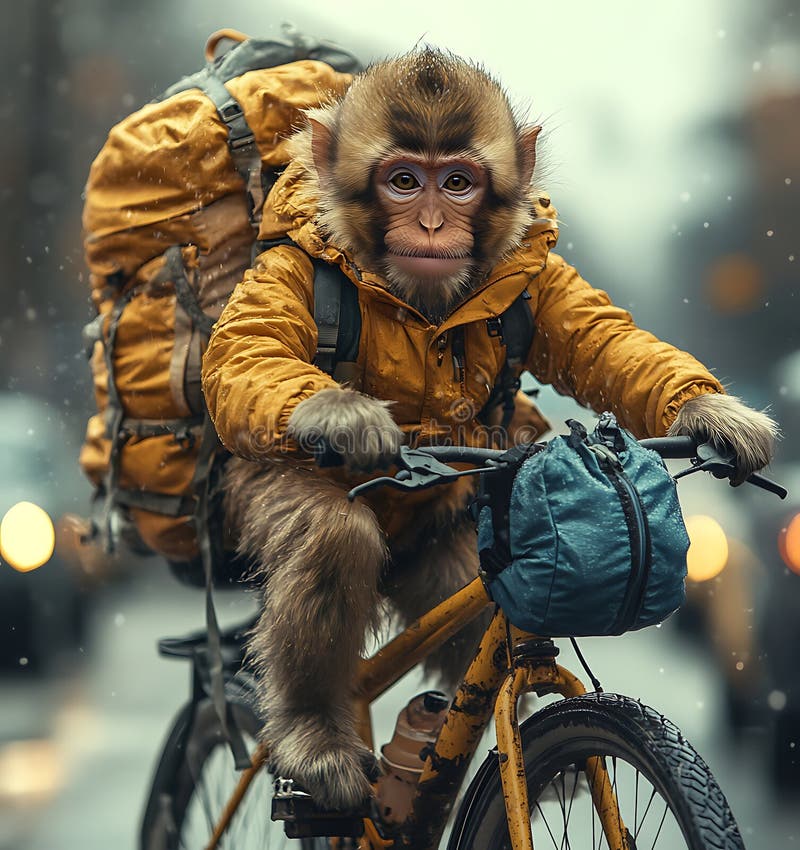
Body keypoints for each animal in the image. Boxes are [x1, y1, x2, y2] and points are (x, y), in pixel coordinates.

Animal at [202, 48, 778, 811]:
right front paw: (342, 416)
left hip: (450, 531)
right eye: (404, 182)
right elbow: (242, 352)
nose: (433, 224)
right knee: (328, 540)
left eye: (457, 183)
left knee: (459, 592)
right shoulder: (289, 267)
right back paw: (314, 737)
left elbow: (603, 337)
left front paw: (715, 415)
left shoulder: (534, 272)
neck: (421, 308)